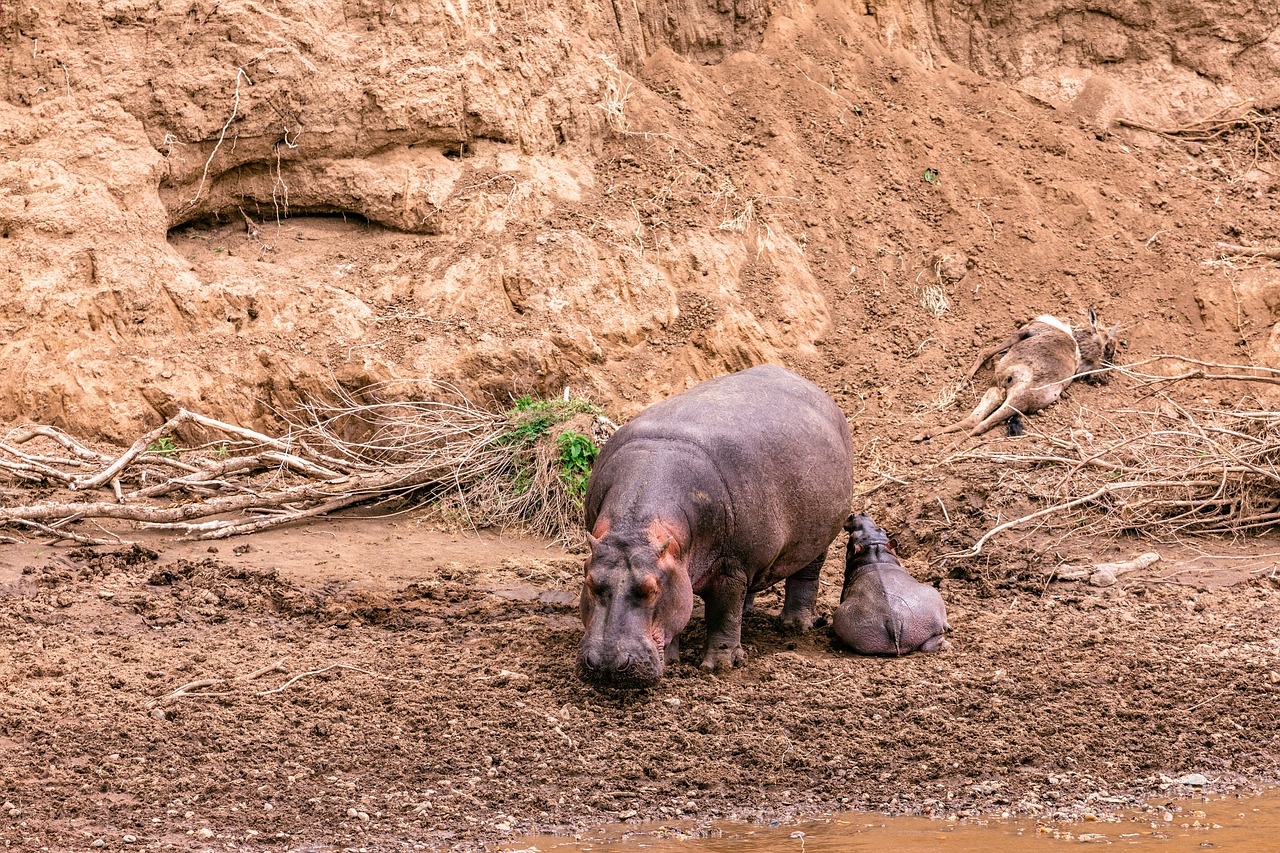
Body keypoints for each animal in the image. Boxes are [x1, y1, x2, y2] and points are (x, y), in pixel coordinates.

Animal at [578, 364, 854, 688]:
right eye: (590, 583)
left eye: (651, 589)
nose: (608, 666)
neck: (635, 529)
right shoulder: (681, 570)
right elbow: (681, 612)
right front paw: (673, 660)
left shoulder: (730, 567)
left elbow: (723, 615)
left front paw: (719, 666)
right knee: (748, 591)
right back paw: (750, 612)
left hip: (815, 539)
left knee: (805, 577)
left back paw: (795, 626)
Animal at [832, 514, 951, 655]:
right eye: (853, 536)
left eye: (882, 529)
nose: (859, 514)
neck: (875, 552)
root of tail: (894, 620)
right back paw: (946, 644)